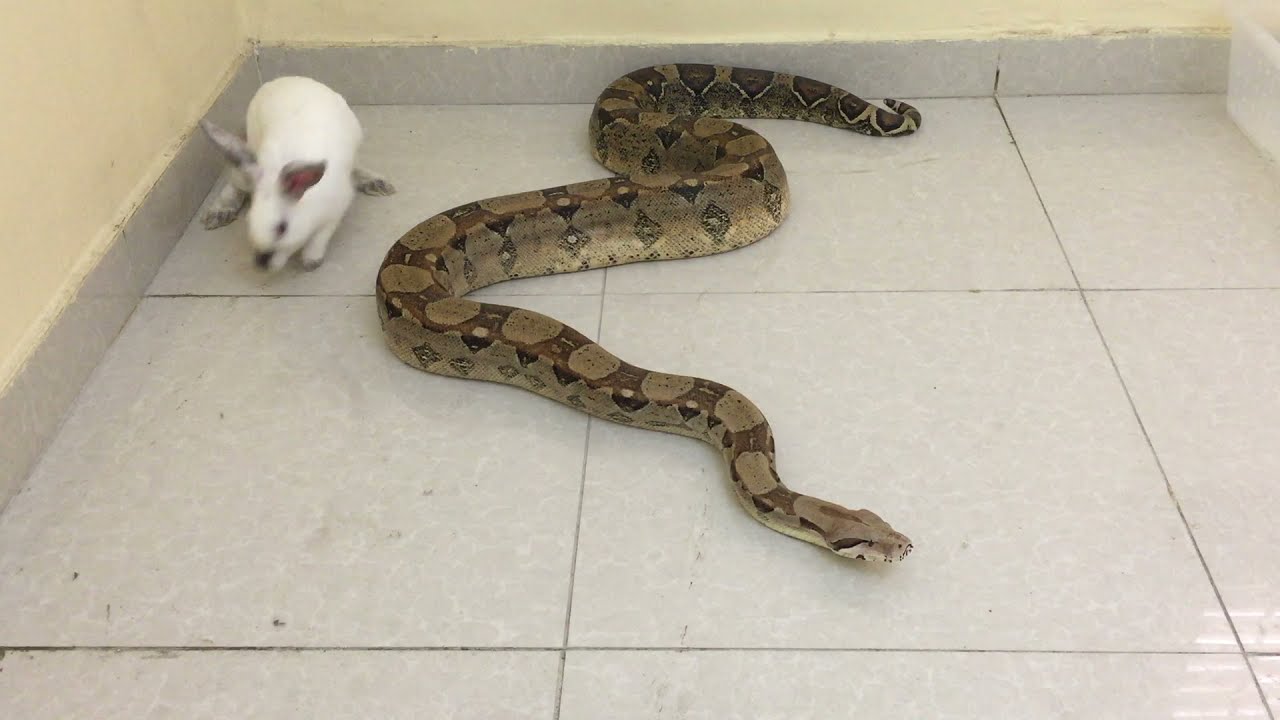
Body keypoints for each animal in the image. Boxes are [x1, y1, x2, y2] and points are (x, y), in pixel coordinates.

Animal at [198, 75, 396, 272]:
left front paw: (311, 260)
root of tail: (284, 79)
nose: (261, 263)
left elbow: (319, 238)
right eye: (249, 221)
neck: (305, 205)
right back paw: (219, 214)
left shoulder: (334, 213)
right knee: (234, 184)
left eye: (282, 228)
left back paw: (378, 183)